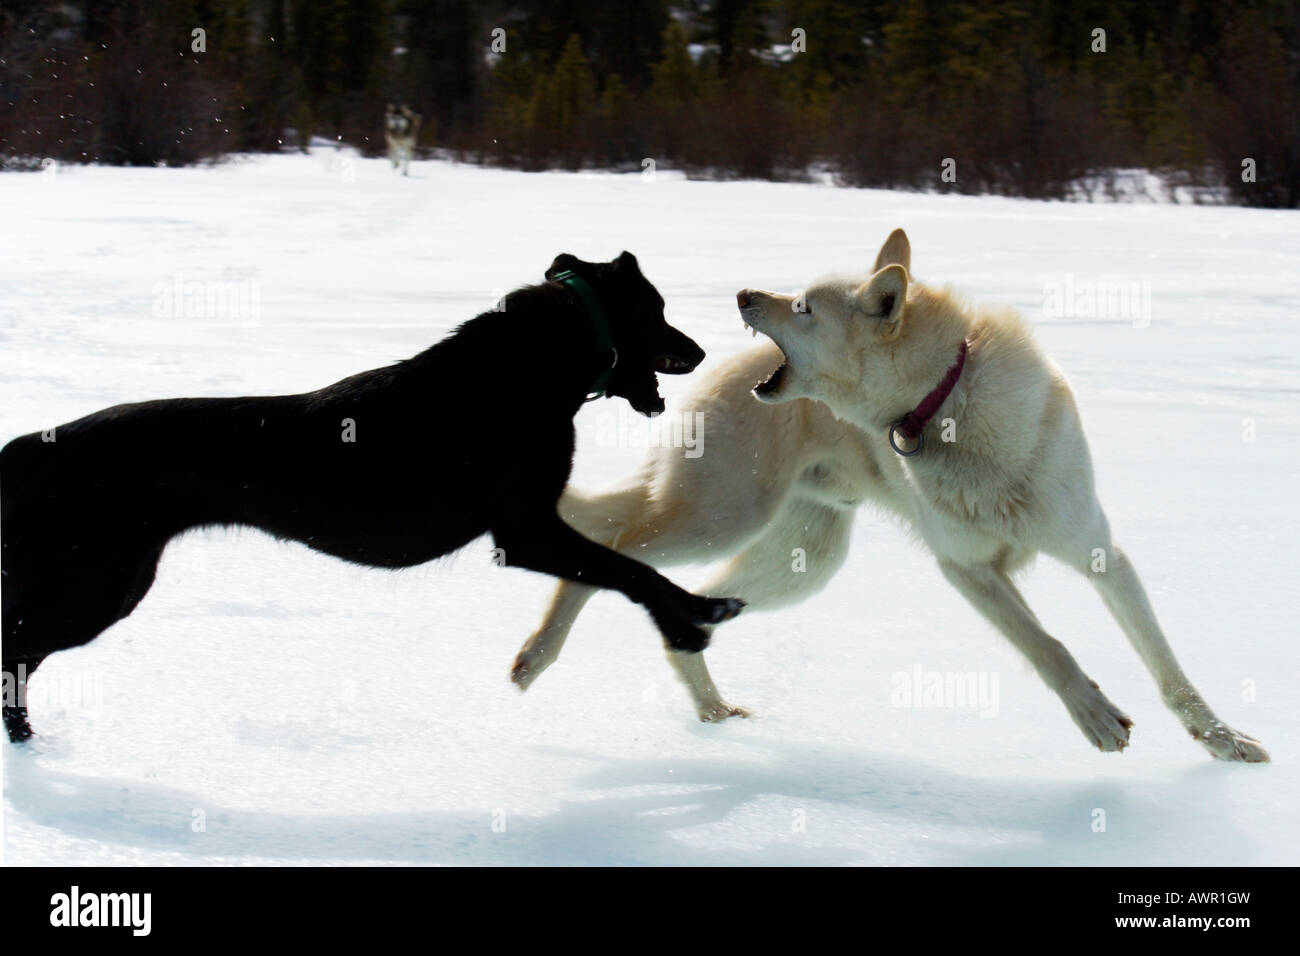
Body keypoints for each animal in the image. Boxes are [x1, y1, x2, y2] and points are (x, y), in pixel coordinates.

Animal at [2, 252, 743, 738]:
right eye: (657, 311)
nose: (701, 351)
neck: (533, 364)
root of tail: (29, 446)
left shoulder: (534, 530)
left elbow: (623, 567)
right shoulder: (524, 531)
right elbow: (630, 570)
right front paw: (697, 616)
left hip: (106, 581)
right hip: (95, 584)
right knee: (17, 648)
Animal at [514, 231, 1268, 764]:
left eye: (802, 306)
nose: (742, 293)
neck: (948, 403)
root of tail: (720, 372)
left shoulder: (1098, 554)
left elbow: (1168, 669)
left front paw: (1222, 739)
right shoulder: (968, 570)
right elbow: (1048, 646)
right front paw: (1096, 715)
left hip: (801, 560)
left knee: (684, 606)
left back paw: (711, 710)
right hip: (720, 517)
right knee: (613, 546)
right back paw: (538, 654)